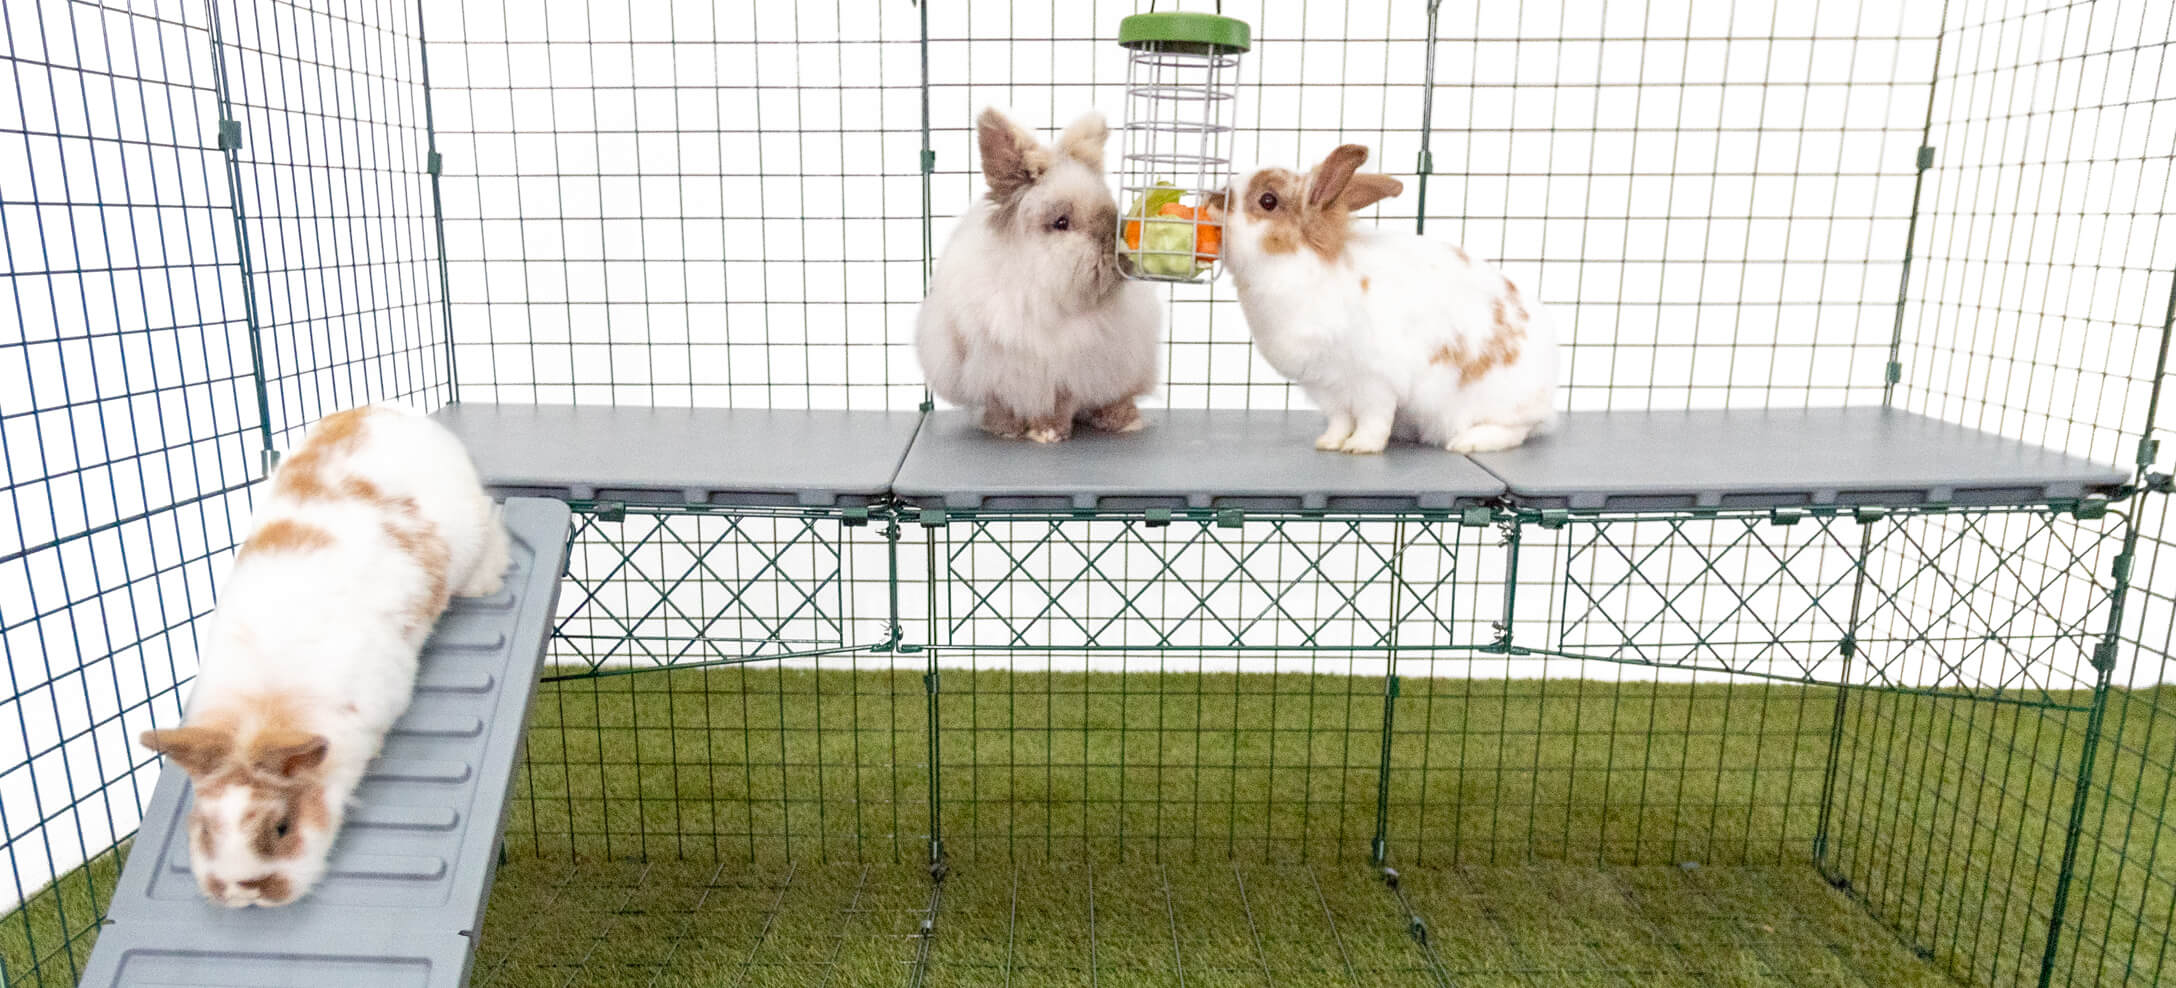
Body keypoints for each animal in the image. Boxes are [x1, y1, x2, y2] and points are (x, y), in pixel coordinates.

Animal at [138, 403, 509, 907]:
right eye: (207, 831)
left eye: (282, 827)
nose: (245, 893)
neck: (262, 710)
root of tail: (387, 410)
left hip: (471, 529)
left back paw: (484, 582)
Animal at [916, 107, 1161, 443]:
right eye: (1061, 222)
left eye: (1112, 208)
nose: (1117, 252)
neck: (1038, 293)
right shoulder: (990, 369)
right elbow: (1002, 404)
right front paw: (1004, 430)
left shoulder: (1071, 370)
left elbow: (1061, 405)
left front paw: (1048, 432)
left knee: (1119, 398)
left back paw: (1123, 421)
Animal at [1215, 144, 1560, 454]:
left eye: (1268, 200)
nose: (1213, 200)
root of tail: (1548, 387)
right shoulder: (1325, 386)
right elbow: (1340, 420)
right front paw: (1329, 443)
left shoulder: (1376, 382)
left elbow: (1373, 419)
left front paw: (1361, 446)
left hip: (1498, 403)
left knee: (1517, 429)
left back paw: (1469, 442)